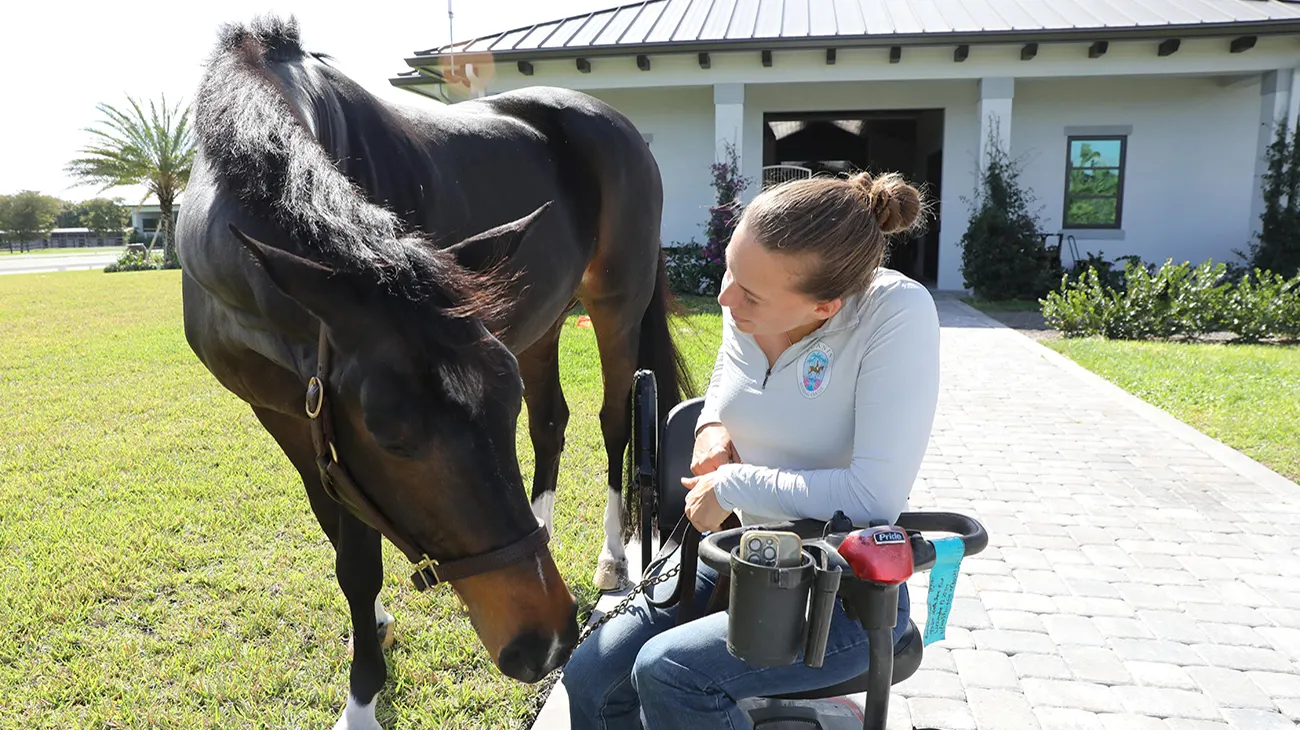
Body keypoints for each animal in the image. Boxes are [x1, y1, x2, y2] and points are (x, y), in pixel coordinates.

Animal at [177, 15, 693, 727]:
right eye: (390, 434)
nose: (549, 640)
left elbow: (359, 559)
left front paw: (361, 700)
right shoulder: (287, 415)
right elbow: (342, 540)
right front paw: (372, 631)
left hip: (615, 306)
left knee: (613, 420)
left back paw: (612, 559)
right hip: (541, 321)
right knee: (551, 423)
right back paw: (543, 525)